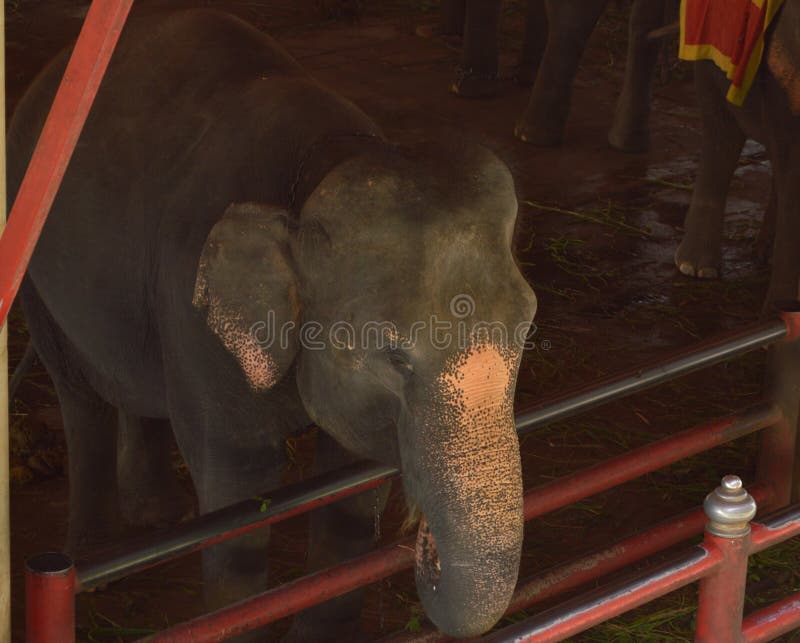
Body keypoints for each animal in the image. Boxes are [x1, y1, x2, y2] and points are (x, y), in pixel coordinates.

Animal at [7, 8, 537, 640]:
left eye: (526, 332)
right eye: (394, 356)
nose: (424, 549)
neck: (322, 165)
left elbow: (351, 488)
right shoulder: (194, 314)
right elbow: (240, 484)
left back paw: (160, 517)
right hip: (30, 247)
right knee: (79, 395)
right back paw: (98, 565)